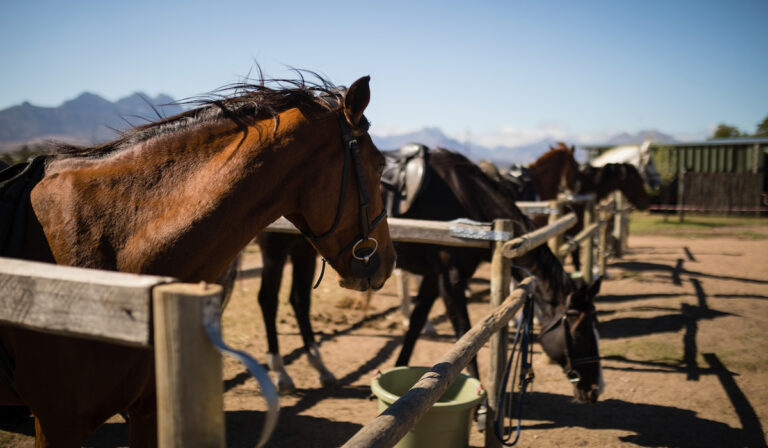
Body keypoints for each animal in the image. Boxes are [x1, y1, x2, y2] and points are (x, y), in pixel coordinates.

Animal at [257, 147, 604, 403]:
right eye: (580, 333)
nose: (596, 388)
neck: (468, 204)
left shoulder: (432, 281)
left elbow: (415, 326)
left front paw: (391, 380)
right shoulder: (450, 280)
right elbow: (466, 333)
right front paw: (480, 405)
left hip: (304, 253)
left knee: (299, 300)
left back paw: (321, 368)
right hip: (275, 251)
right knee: (269, 300)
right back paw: (281, 373)